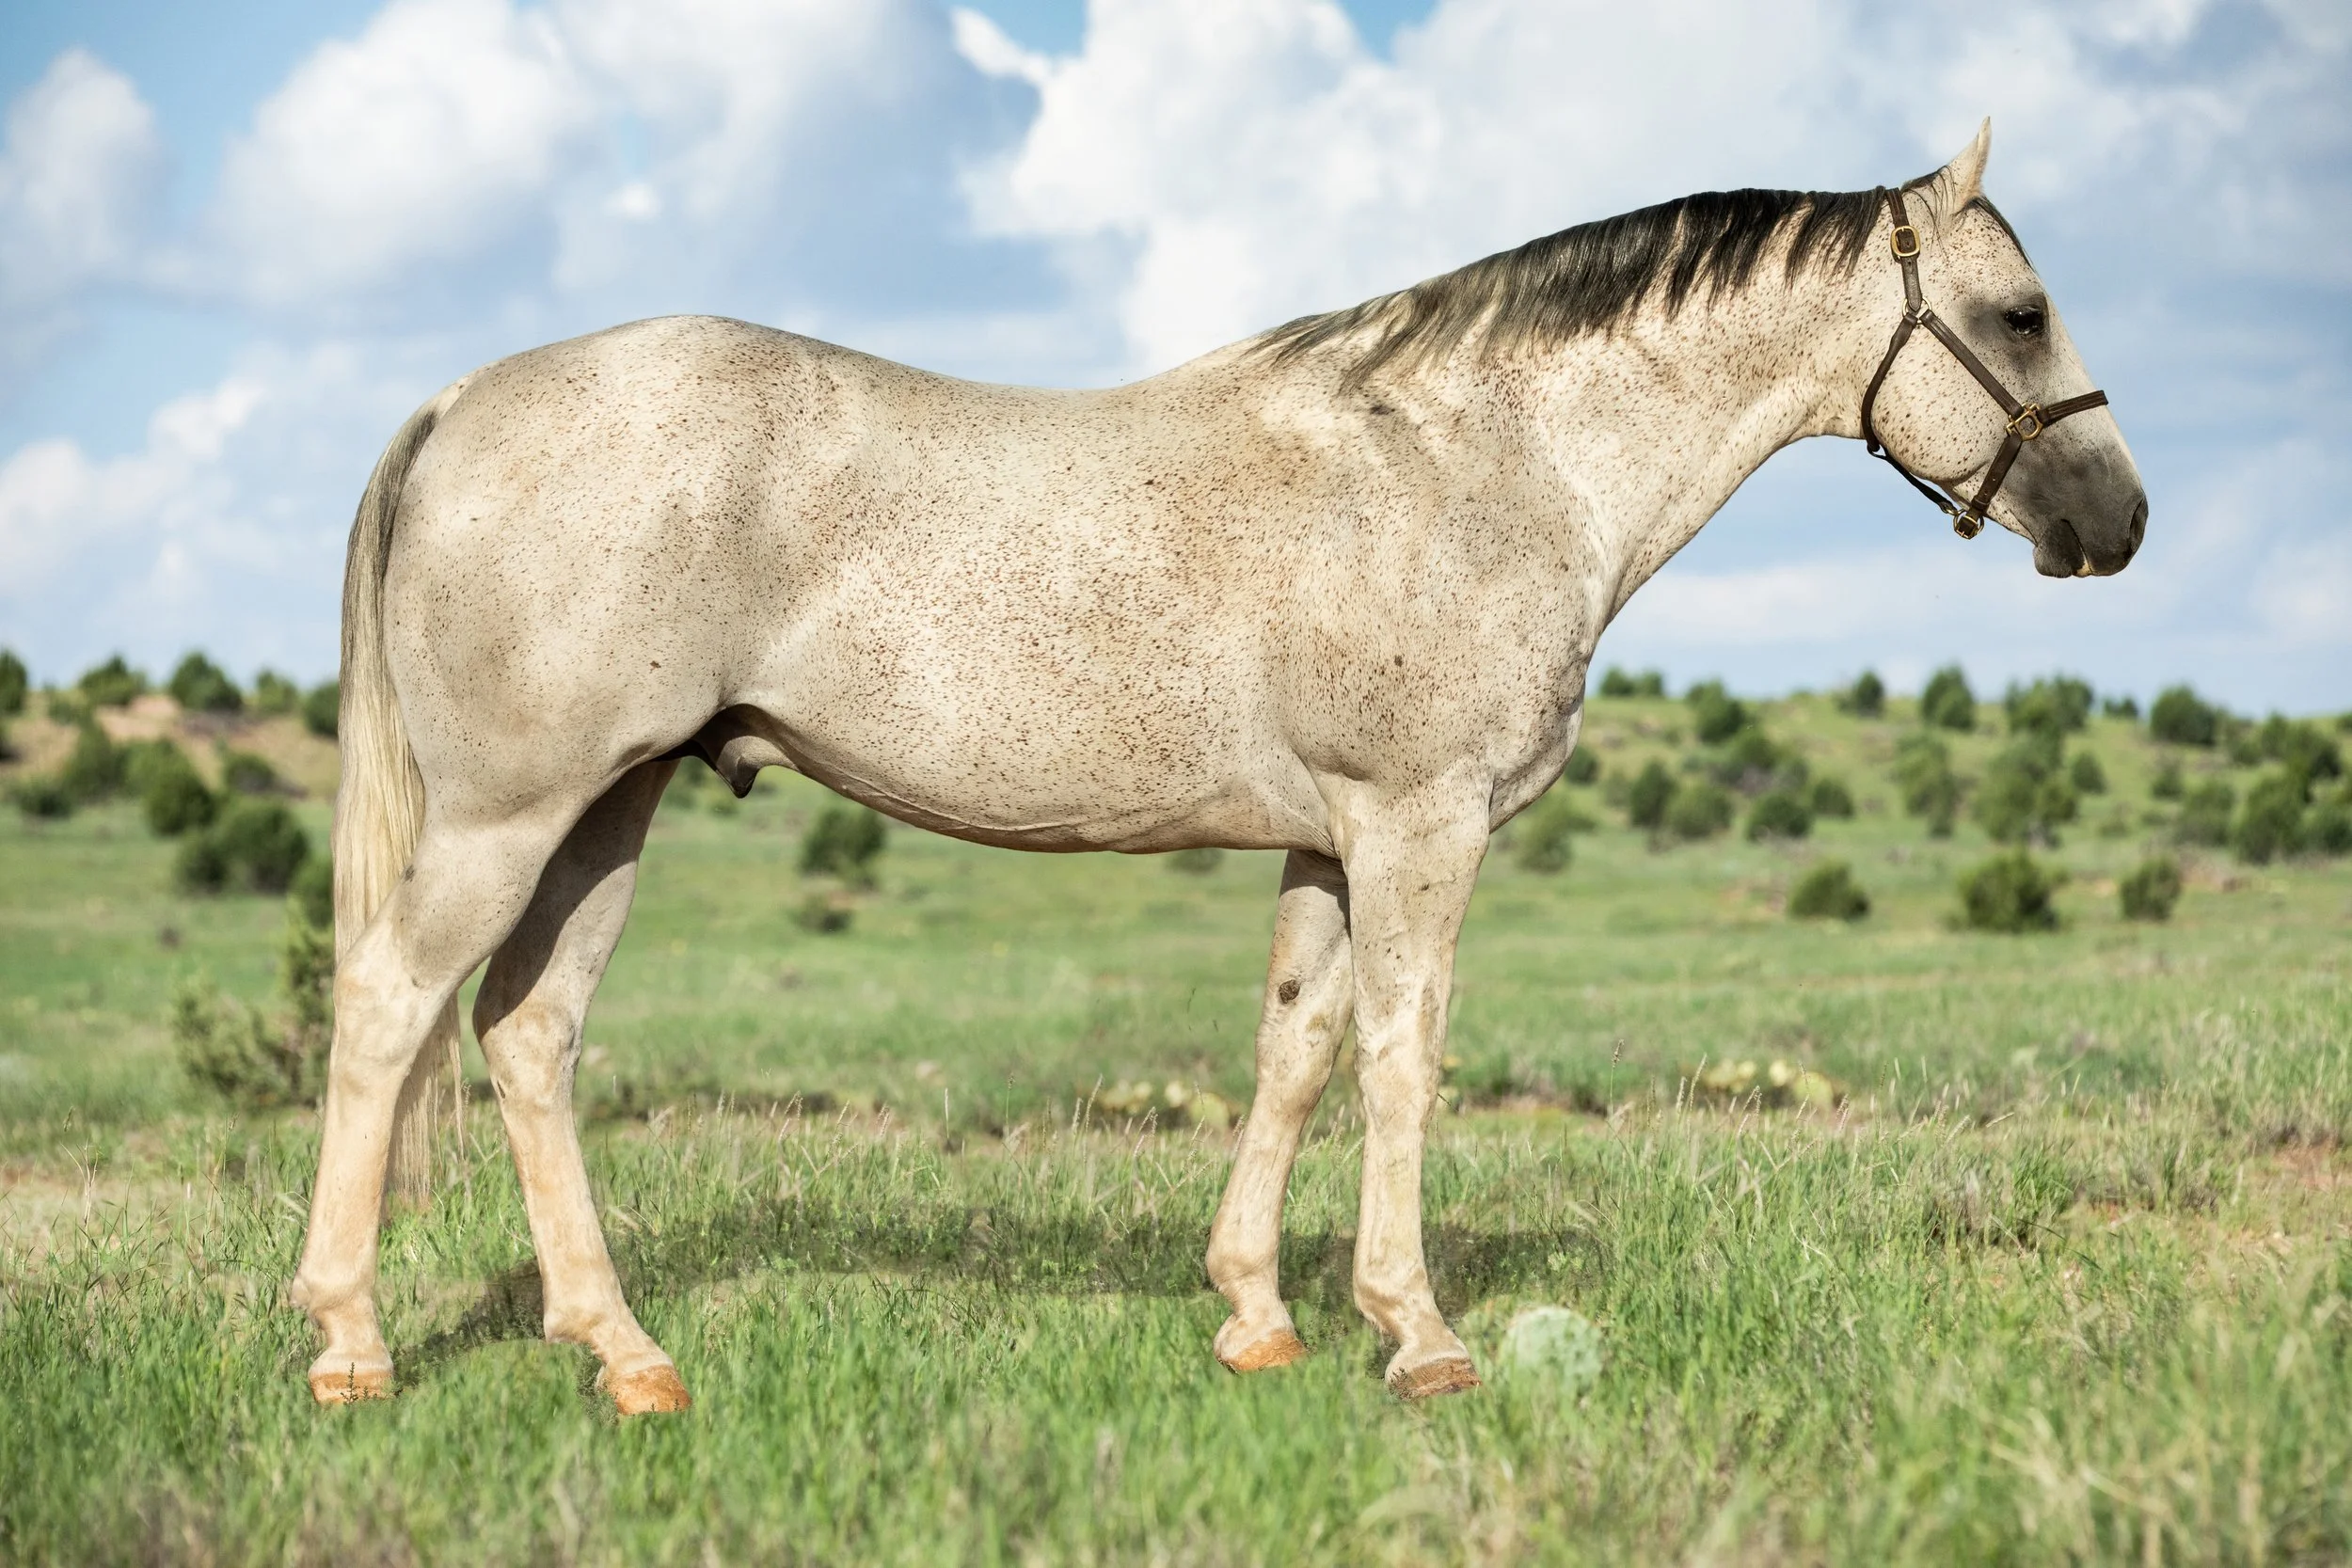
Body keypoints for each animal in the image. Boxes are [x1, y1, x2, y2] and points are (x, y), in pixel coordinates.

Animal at [291, 123, 2145, 1412]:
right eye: (2021, 311)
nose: (2120, 523)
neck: (1486, 462)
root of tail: (464, 396)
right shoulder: (1419, 824)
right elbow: (1404, 1056)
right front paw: (1422, 1336)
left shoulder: (1331, 841)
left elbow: (1296, 1051)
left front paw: (1259, 1314)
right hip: (510, 815)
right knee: (386, 1009)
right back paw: (350, 1344)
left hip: (610, 807)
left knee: (528, 1036)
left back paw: (623, 1352)